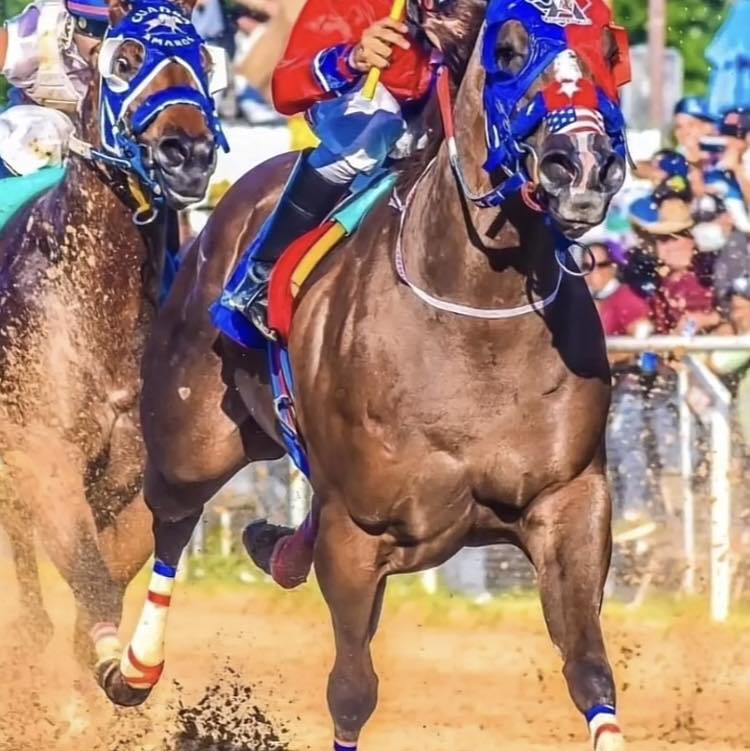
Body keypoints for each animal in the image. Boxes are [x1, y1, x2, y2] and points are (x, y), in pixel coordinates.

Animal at [0, 0, 221, 694]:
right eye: (124, 60)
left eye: (205, 63)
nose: (188, 152)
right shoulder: (41, 454)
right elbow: (88, 575)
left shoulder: (138, 478)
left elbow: (108, 577)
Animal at [106, 0, 631, 747]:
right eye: (506, 49)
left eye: (609, 49)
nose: (582, 164)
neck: (476, 314)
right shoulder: (357, 532)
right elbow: (352, 691)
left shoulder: (571, 501)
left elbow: (589, 669)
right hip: (191, 437)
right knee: (173, 518)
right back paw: (133, 665)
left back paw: (272, 546)